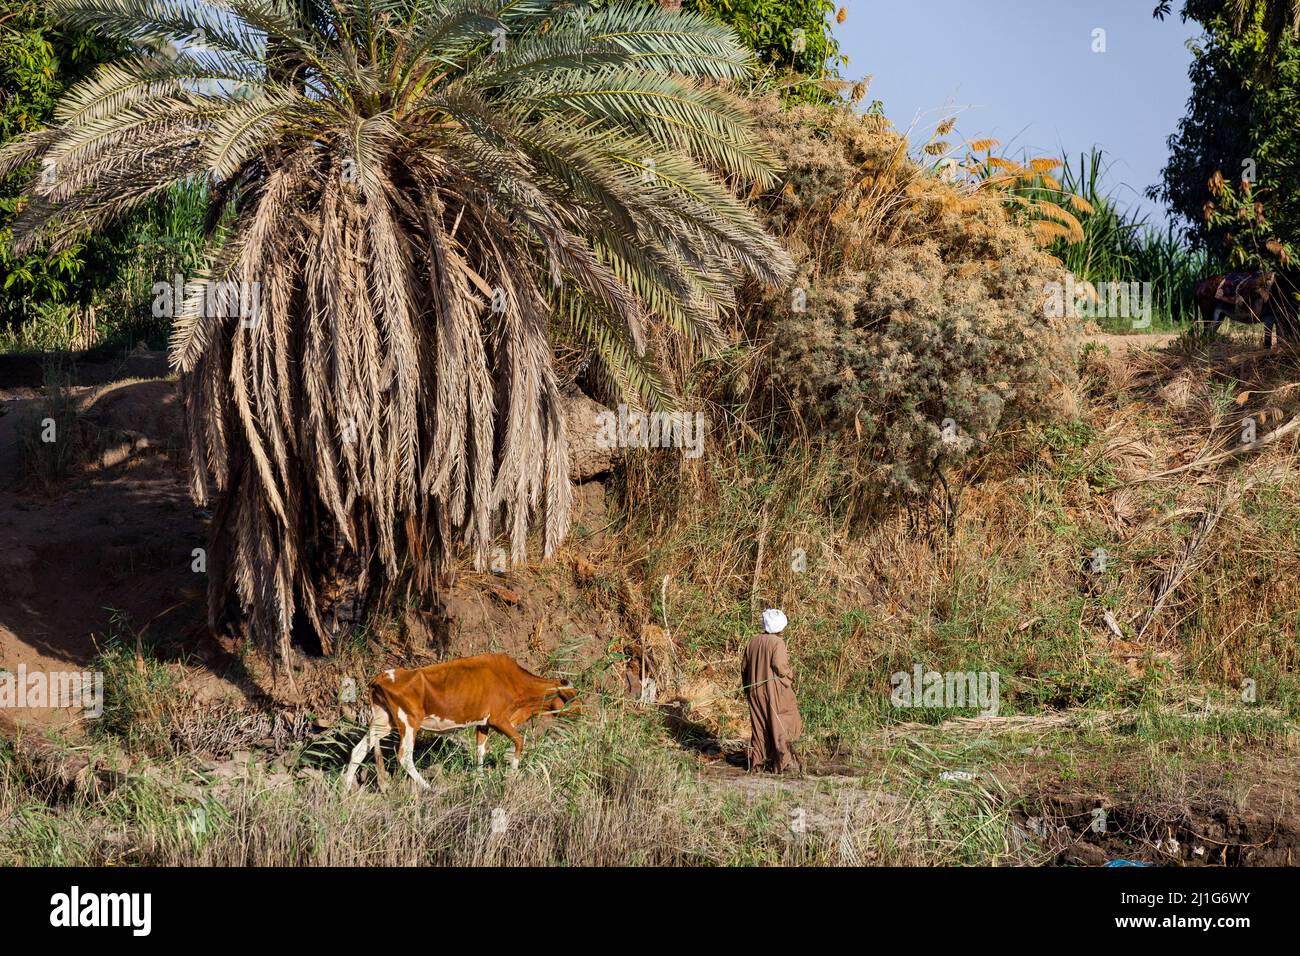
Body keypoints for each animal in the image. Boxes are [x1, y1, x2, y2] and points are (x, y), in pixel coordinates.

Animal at [342, 653, 578, 790]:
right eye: (572, 697)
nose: (582, 712)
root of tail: (382, 676)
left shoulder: (483, 722)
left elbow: (480, 750)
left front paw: (479, 779)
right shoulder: (500, 719)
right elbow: (520, 741)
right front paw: (512, 775)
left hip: (383, 722)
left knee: (358, 751)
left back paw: (346, 790)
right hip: (408, 722)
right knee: (404, 756)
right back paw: (428, 788)